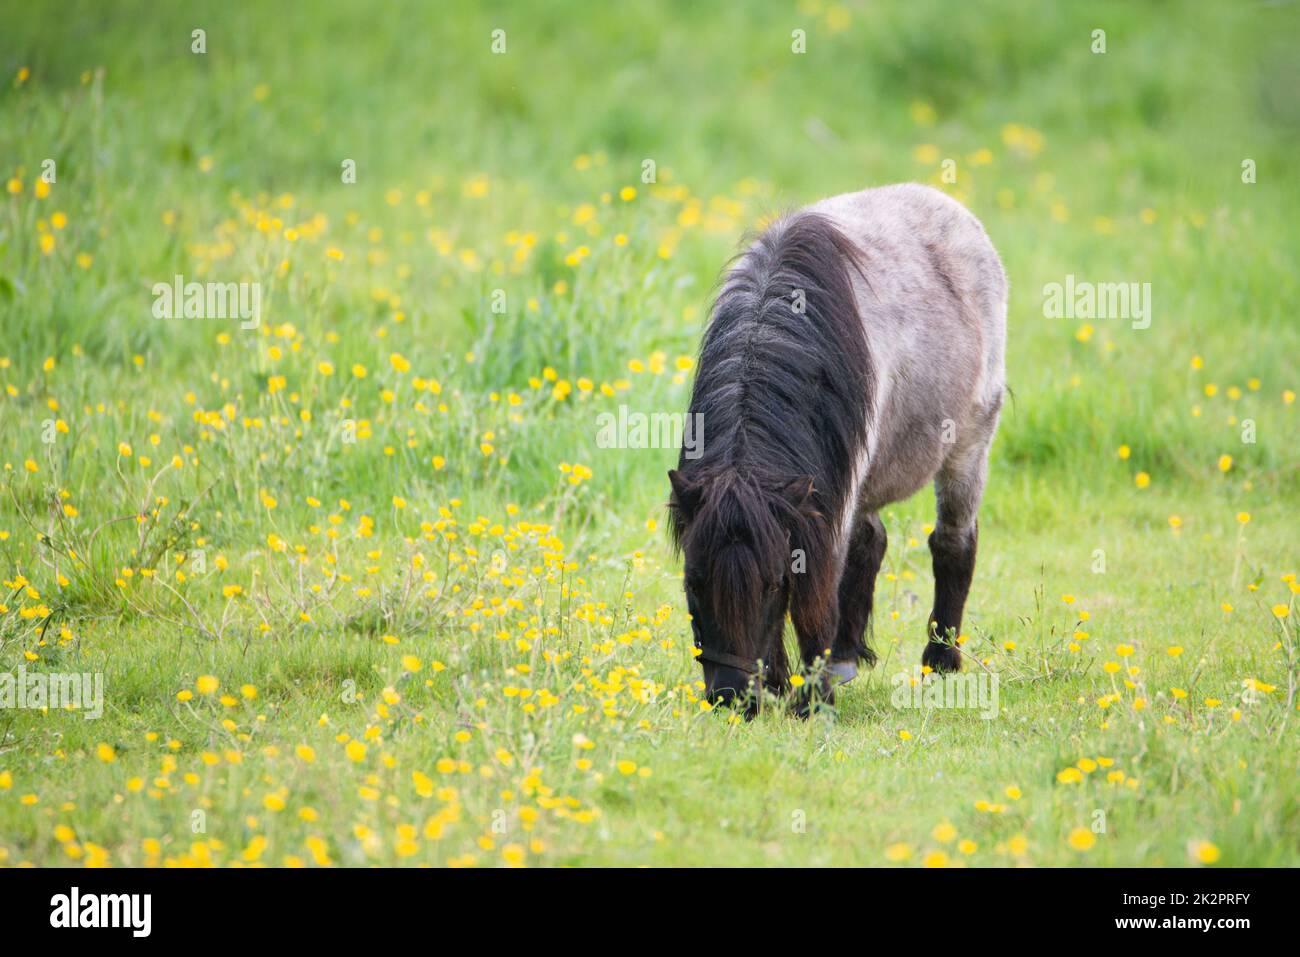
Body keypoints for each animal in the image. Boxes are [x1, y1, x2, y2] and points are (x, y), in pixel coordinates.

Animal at [670, 183, 1003, 712]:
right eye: (694, 581)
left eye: (772, 583)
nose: (732, 698)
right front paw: (787, 683)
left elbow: (816, 597)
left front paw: (812, 700)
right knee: (871, 541)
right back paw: (846, 656)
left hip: (968, 446)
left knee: (953, 543)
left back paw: (940, 661)